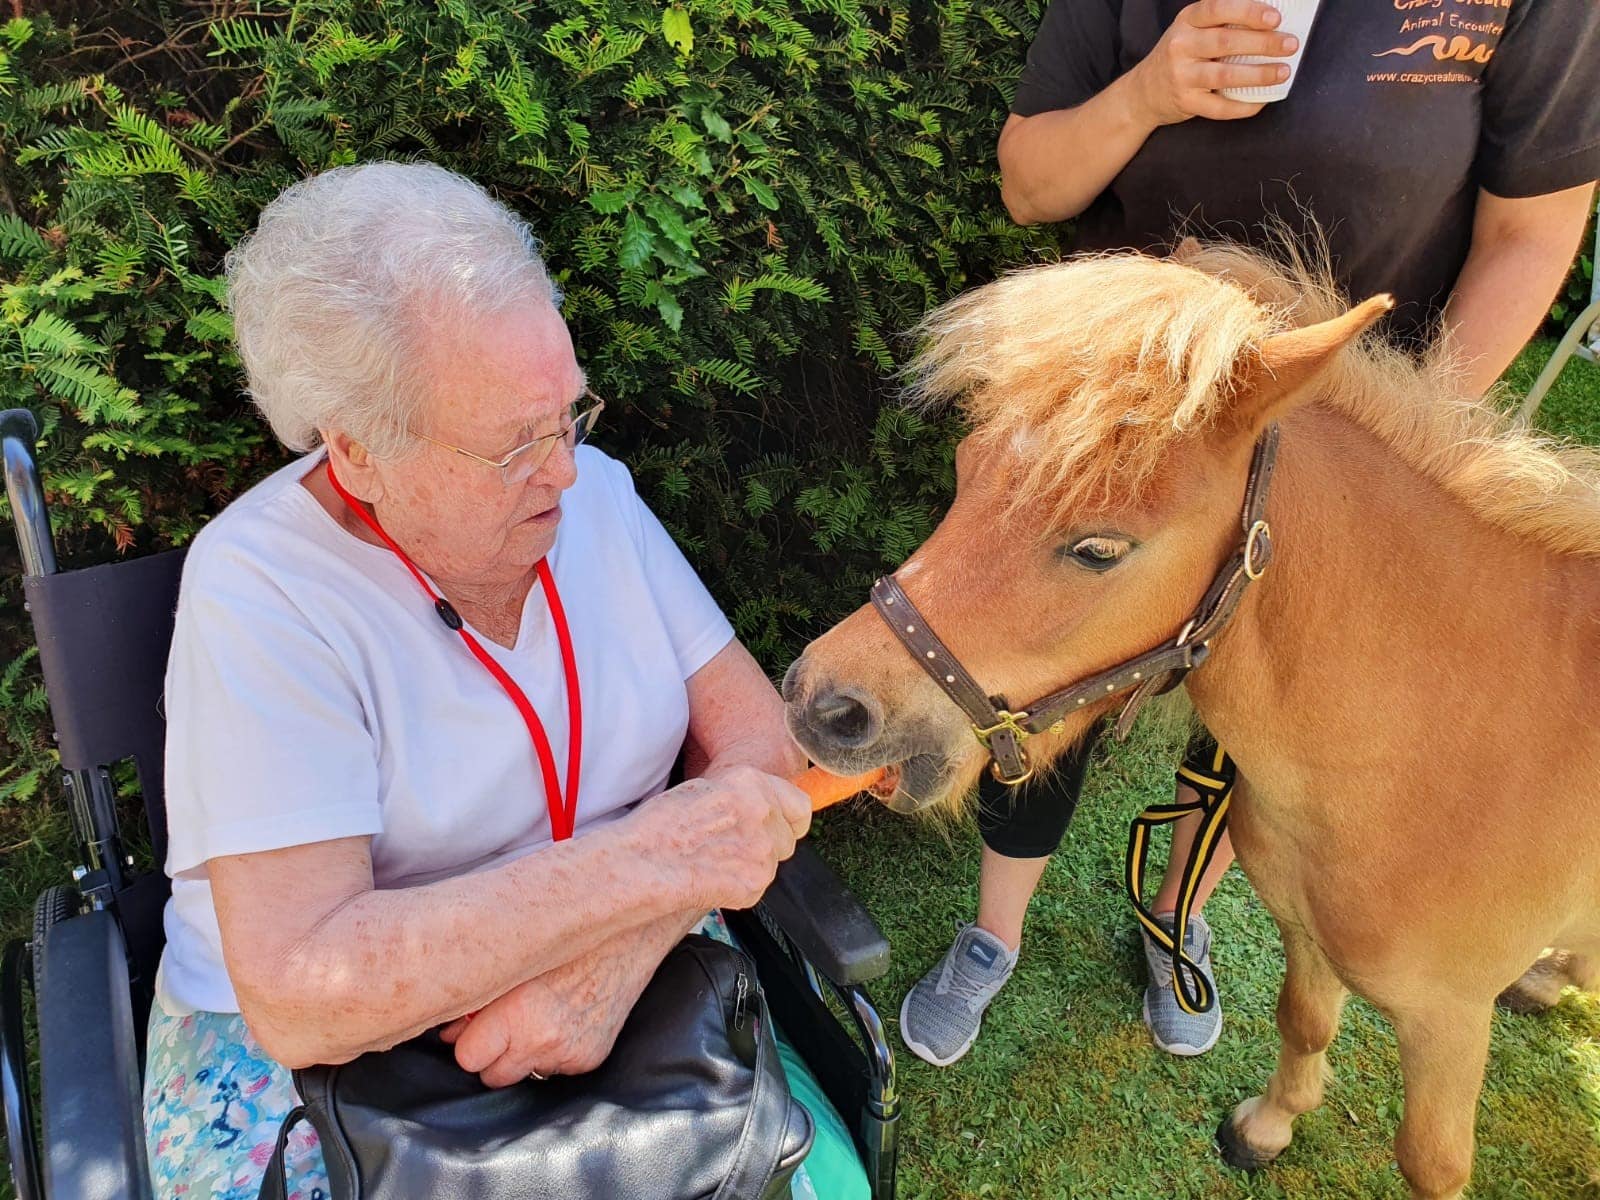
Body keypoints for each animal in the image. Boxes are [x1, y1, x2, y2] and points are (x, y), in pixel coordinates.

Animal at [782, 240, 1600, 1200]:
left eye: (1099, 549)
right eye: (967, 467)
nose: (822, 704)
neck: (1443, 750)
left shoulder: (1449, 1019)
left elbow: (1430, 1161)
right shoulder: (1307, 941)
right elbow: (1304, 1024)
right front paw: (1267, 1129)